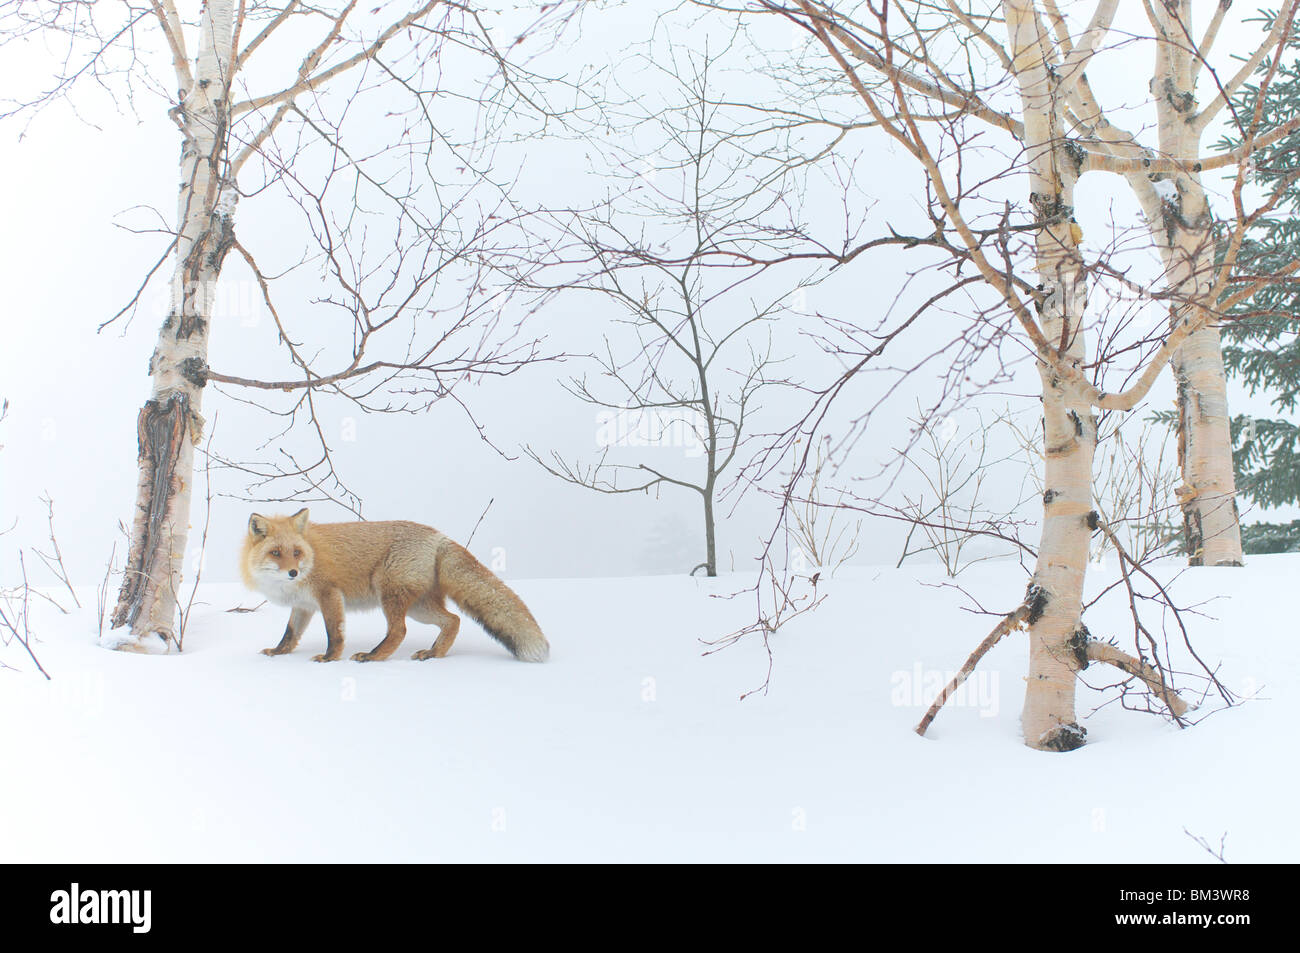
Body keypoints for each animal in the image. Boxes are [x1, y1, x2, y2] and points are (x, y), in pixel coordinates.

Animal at [240, 508, 549, 664]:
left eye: (297, 552)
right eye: (276, 553)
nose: (294, 572)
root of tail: (439, 536)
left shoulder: (329, 595)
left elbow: (334, 633)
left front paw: (330, 658)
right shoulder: (304, 606)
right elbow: (289, 634)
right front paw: (279, 653)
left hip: (389, 594)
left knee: (399, 631)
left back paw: (374, 656)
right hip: (419, 607)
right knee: (453, 620)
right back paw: (434, 653)